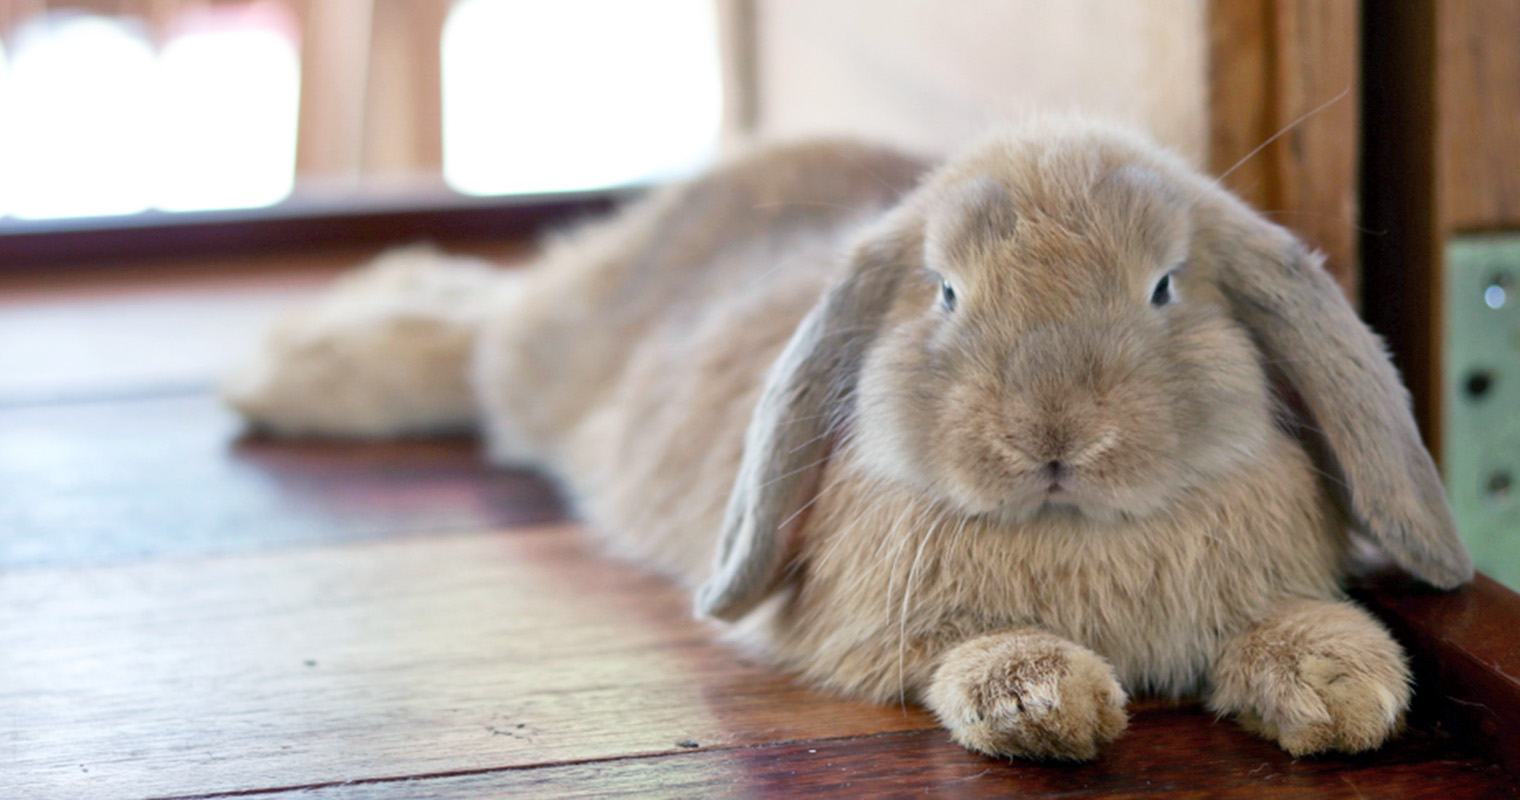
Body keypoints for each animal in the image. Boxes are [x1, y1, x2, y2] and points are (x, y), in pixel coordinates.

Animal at [225, 116, 1472, 762]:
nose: (1051, 434)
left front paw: (1340, 687)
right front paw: (1051, 703)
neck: (1075, 528)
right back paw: (282, 371)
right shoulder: (884, 632)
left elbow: (1292, 625)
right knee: (473, 335)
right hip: (536, 358)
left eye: (1164, 286)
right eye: (945, 293)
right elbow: (971, 658)